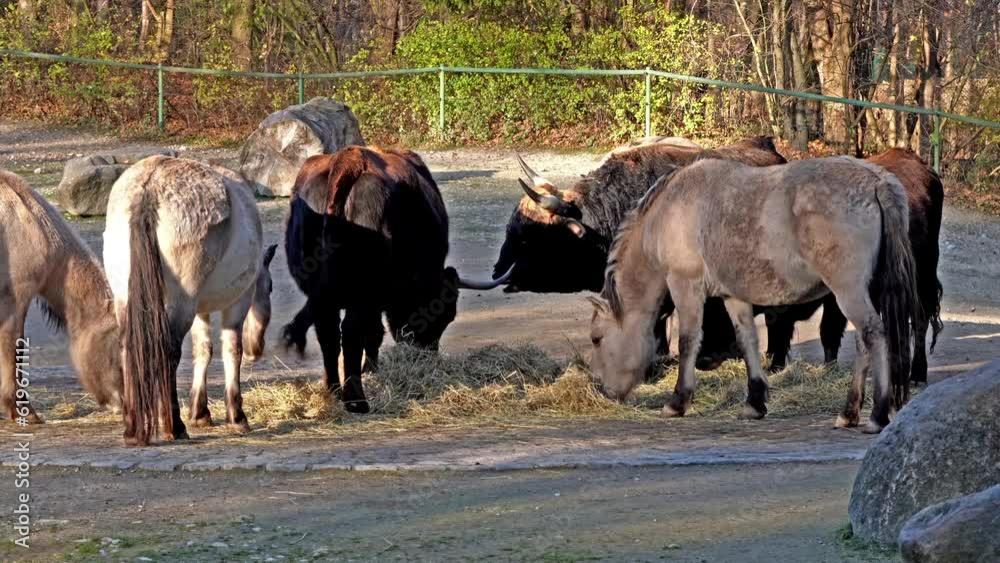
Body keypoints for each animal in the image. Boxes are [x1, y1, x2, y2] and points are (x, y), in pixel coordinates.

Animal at [284, 146, 508, 413]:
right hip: (363, 293)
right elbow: (374, 333)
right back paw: (357, 401)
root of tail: (350, 159)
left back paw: (334, 392)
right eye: (446, 315)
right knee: (351, 333)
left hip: (324, 295)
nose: (425, 355)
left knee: (328, 334)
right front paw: (371, 370)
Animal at [695, 148, 944, 384]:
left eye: (714, 310)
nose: (701, 361)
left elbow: (825, 331)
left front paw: (821, 367)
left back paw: (917, 373)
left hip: (923, 276)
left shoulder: (835, 297)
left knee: (920, 320)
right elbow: (778, 330)